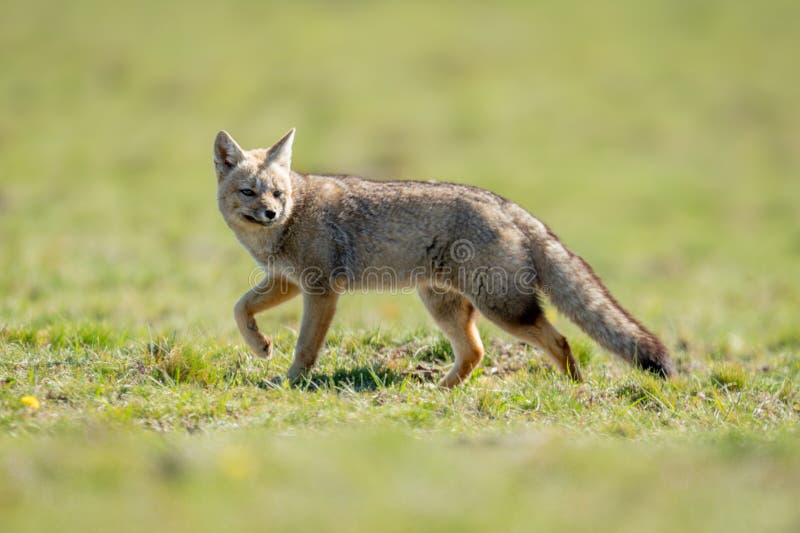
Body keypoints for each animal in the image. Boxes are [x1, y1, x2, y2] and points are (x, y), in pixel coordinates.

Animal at [214, 128, 675, 386]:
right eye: (249, 192)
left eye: (278, 193)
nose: (271, 213)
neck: (293, 218)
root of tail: (506, 204)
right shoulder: (286, 281)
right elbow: (239, 308)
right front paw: (260, 346)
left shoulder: (321, 290)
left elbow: (306, 346)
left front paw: (288, 382)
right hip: (444, 304)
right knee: (475, 353)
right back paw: (442, 391)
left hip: (503, 309)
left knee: (559, 340)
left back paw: (575, 389)